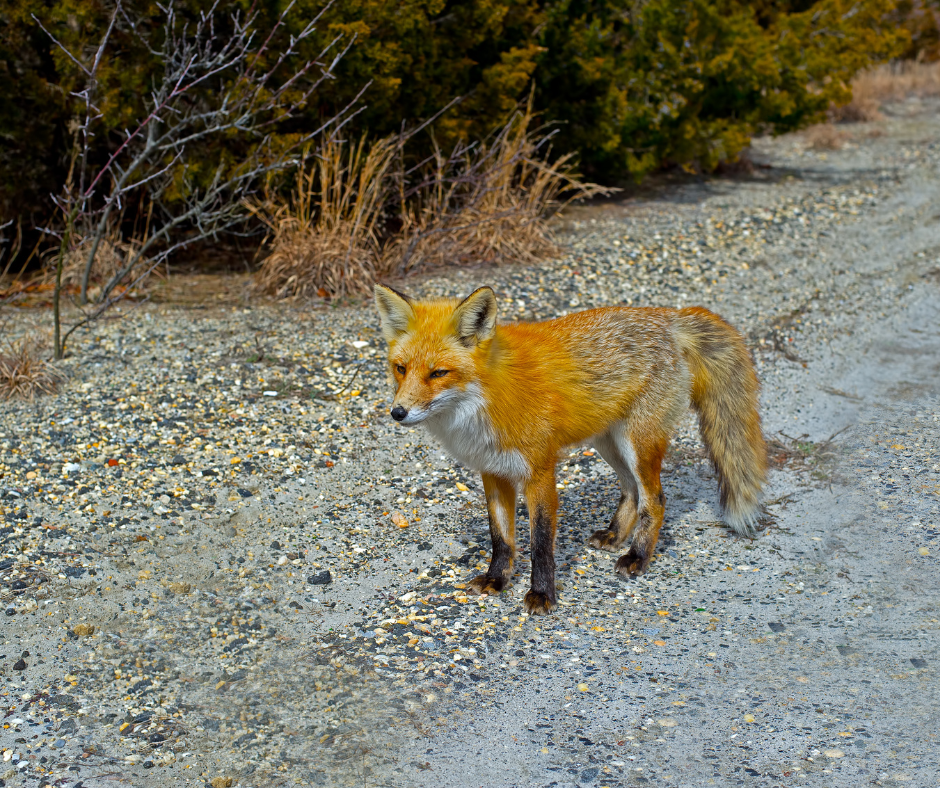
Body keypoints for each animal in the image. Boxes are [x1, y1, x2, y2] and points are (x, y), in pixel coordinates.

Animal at [374, 283, 767, 615]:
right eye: (401, 369)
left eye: (438, 373)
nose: (398, 412)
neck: (488, 397)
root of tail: (670, 316)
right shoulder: (493, 472)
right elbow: (501, 539)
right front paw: (497, 580)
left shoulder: (539, 474)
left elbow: (540, 545)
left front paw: (541, 595)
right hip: (608, 444)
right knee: (631, 492)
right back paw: (615, 535)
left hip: (637, 444)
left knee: (655, 500)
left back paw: (638, 556)